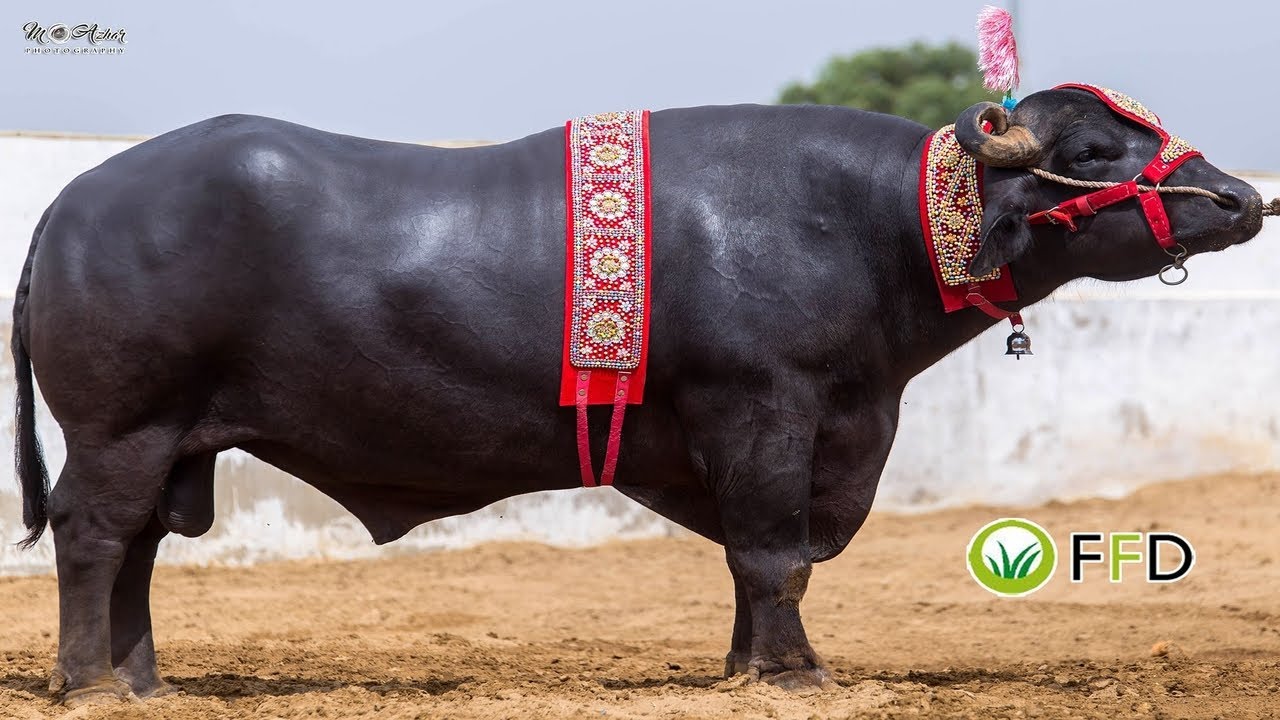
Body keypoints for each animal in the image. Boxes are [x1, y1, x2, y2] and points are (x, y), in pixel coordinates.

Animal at [9, 87, 1263, 704]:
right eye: (1095, 149)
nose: (1238, 196)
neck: (867, 229)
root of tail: (79, 197)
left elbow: (755, 565)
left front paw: (741, 665)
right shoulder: (765, 411)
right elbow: (774, 553)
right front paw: (793, 674)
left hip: (175, 442)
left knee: (137, 552)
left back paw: (142, 678)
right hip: (121, 431)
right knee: (93, 535)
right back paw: (89, 682)